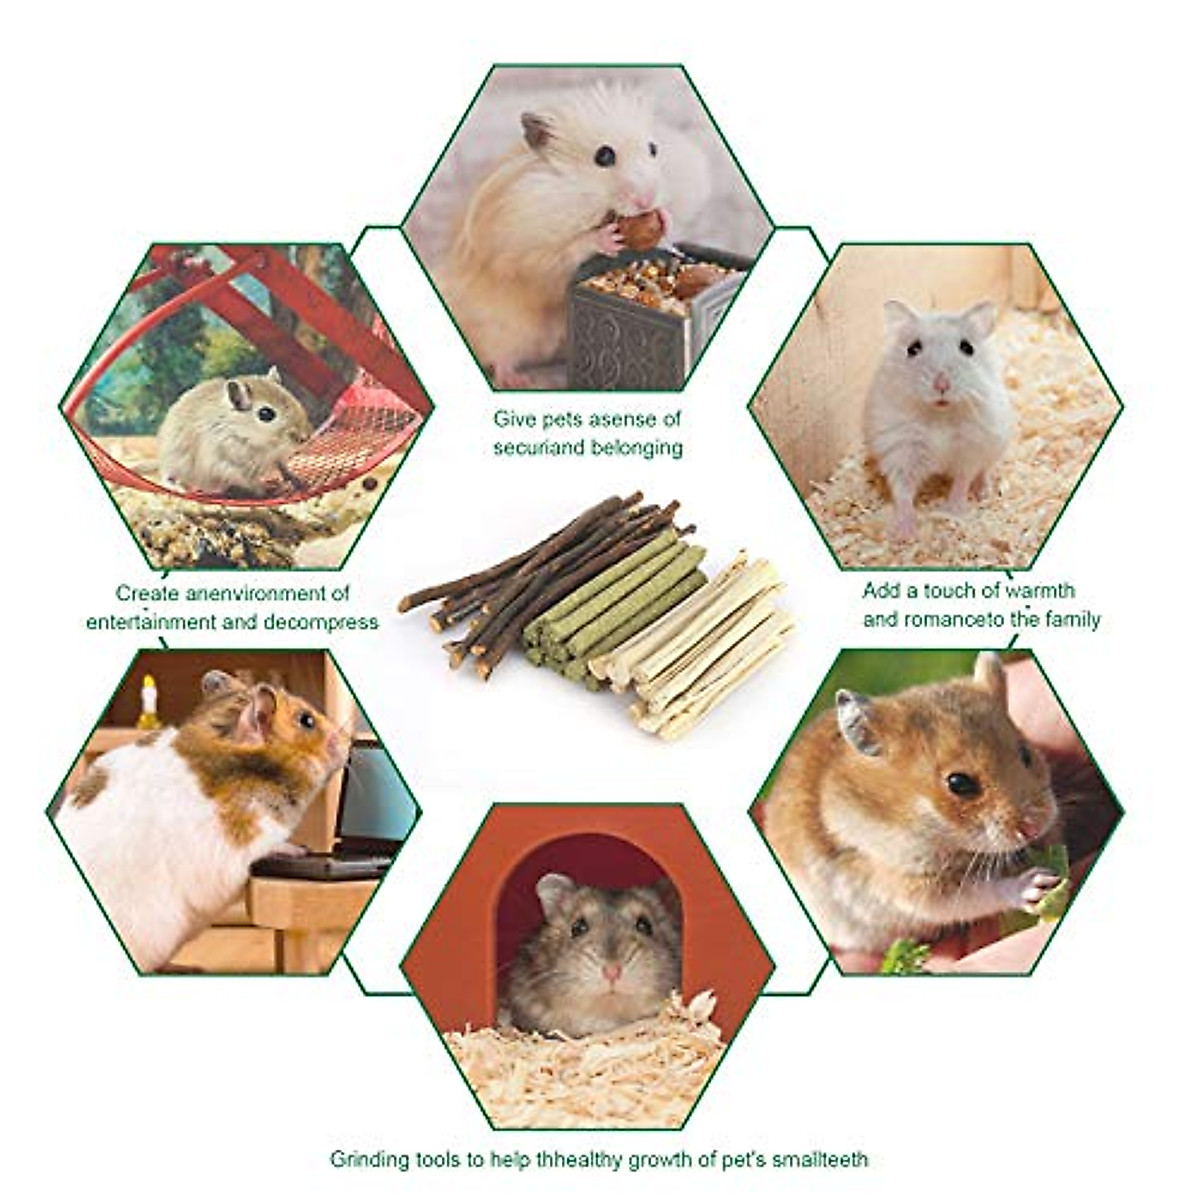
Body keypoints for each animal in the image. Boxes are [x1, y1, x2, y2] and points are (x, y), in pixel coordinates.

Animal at [157, 366, 313, 497]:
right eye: (265, 414)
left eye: (294, 399)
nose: (305, 437)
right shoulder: (228, 465)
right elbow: (252, 482)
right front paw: (269, 491)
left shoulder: (277, 456)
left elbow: (283, 468)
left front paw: (298, 481)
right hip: (174, 461)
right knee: (167, 476)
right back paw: (178, 488)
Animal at [435, 83, 709, 388]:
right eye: (604, 156)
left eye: (653, 149)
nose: (647, 200)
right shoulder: (523, 247)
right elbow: (564, 252)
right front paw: (607, 238)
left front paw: (663, 217)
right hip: (498, 325)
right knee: (499, 356)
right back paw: (518, 380)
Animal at [761, 653, 1062, 953]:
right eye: (958, 783)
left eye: (1026, 754)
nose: (1035, 828)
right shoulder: (908, 884)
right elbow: (978, 893)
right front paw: (1039, 883)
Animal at [864, 300, 1012, 541]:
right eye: (912, 349)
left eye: (967, 348)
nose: (941, 385)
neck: (939, 415)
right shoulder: (901, 451)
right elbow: (903, 492)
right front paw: (905, 534)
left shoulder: (970, 448)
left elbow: (962, 480)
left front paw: (952, 513)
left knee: (984, 470)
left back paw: (983, 492)